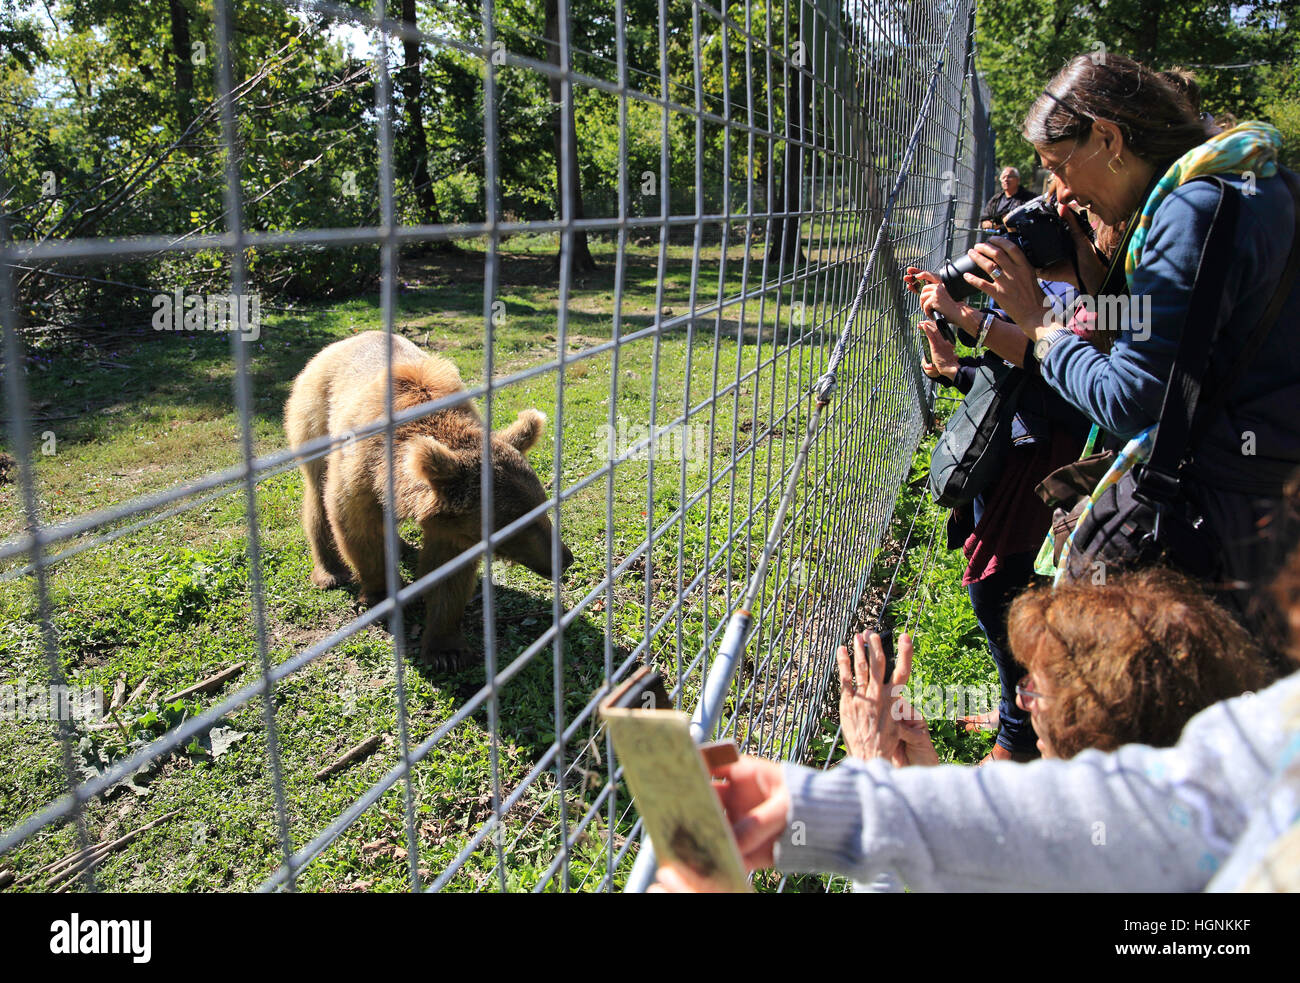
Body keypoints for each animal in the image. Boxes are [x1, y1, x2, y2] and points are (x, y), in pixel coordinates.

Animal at [284, 330, 574, 668]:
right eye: (518, 522)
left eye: (542, 508)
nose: (564, 558)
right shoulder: (361, 473)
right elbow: (358, 528)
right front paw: (383, 595)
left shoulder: (453, 523)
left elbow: (447, 570)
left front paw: (446, 649)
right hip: (315, 417)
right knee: (317, 493)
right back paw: (330, 572)